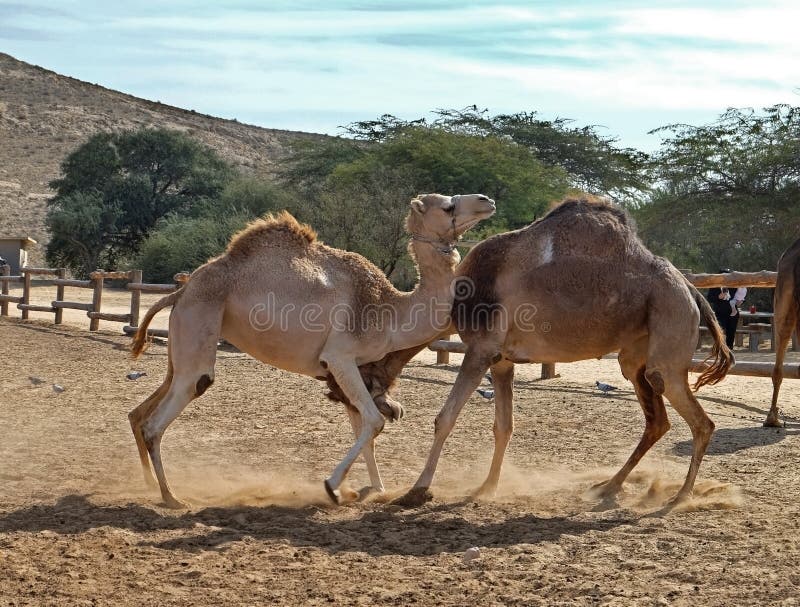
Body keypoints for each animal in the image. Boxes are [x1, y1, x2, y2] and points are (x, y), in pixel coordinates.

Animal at [128, 193, 496, 508]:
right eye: (447, 207)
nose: (487, 201)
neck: (390, 310)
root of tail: (182, 290)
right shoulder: (340, 357)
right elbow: (374, 421)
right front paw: (333, 487)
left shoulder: (345, 368)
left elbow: (363, 425)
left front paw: (370, 489)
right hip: (199, 326)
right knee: (167, 412)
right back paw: (171, 498)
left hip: (182, 346)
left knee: (144, 409)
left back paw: (153, 486)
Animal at [394, 196, 733, 508]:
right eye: (446, 206)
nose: (485, 201)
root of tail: (691, 290)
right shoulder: (501, 359)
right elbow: (503, 426)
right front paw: (486, 487)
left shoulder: (481, 348)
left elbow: (445, 418)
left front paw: (416, 491)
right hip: (635, 355)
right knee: (657, 420)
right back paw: (607, 487)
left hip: (669, 333)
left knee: (701, 421)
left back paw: (680, 496)